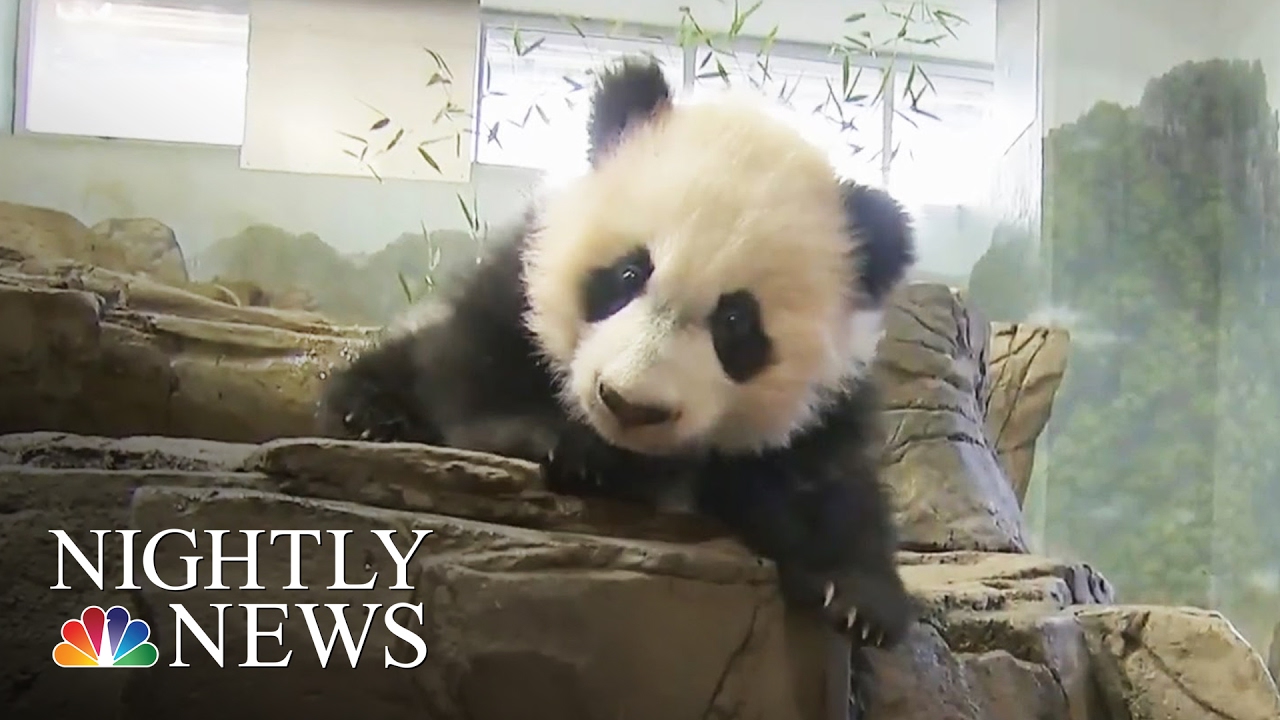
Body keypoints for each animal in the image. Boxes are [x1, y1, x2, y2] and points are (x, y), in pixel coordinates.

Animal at [318, 56, 918, 714]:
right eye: (629, 274)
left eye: (736, 322)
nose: (629, 406)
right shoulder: (516, 289)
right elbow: (478, 375)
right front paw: (566, 444)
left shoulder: (821, 405)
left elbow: (825, 480)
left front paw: (857, 596)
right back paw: (370, 413)